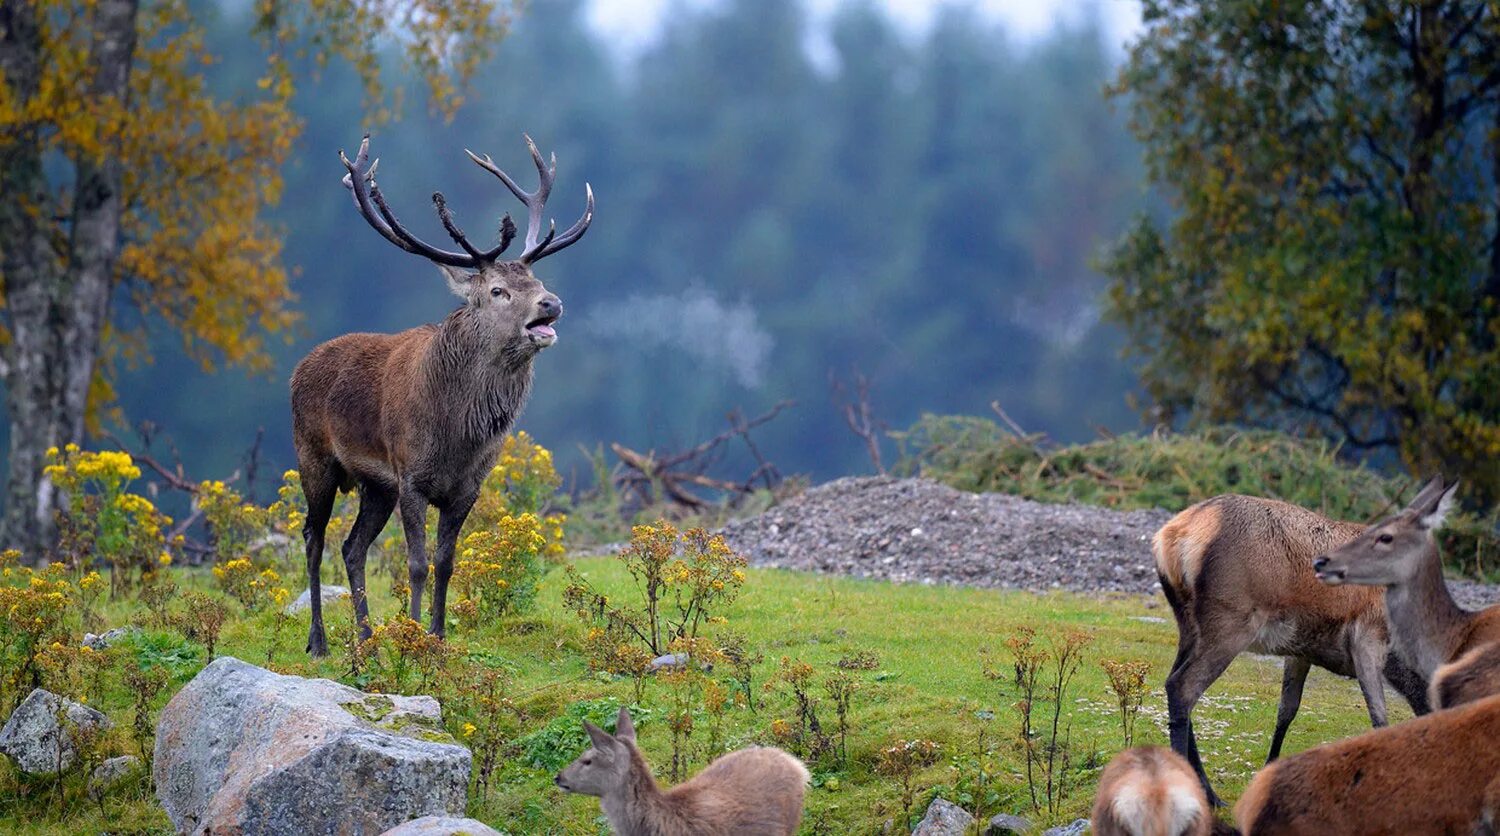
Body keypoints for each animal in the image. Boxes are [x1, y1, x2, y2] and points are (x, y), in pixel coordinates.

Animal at [292, 133, 591, 654]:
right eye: (497, 290)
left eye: (536, 281)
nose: (551, 303)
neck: (457, 433)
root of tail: (297, 369)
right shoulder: (410, 474)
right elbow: (416, 564)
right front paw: (412, 637)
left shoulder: (466, 487)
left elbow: (447, 563)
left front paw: (437, 636)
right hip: (315, 458)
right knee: (314, 538)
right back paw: (320, 641)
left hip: (375, 485)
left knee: (352, 547)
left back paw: (367, 637)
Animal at [1158, 495, 1428, 804]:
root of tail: (1174, 534)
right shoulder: (1367, 639)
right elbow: (1379, 718)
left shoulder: (1300, 651)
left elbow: (1286, 711)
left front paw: (1270, 769)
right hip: (1229, 623)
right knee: (1183, 686)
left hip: (1188, 625)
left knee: (1174, 681)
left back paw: (1210, 793)